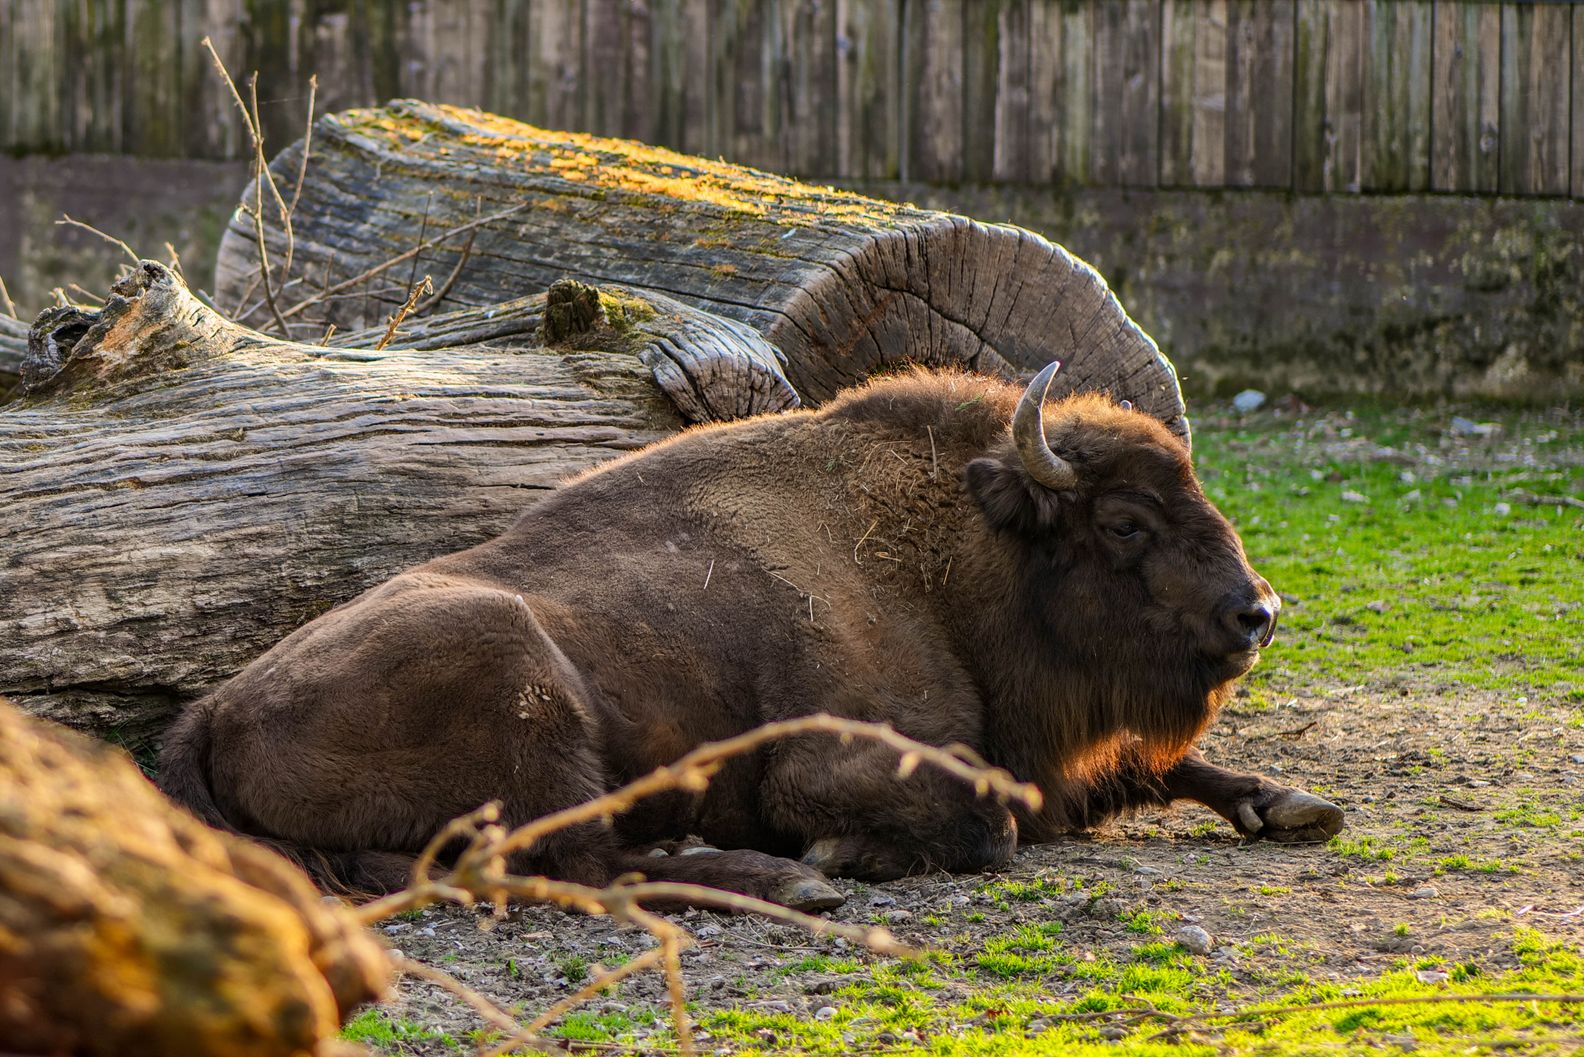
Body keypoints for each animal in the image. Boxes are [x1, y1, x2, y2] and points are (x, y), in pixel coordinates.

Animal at [159, 364, 1343, 911]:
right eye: (1126, 521)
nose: (1258, 613)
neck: (951, 559)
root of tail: (212, 712)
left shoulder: (1058, 757)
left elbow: (1153, 765)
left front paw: (1294, 804)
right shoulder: (825, 761)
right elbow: (987, 822)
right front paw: (836, 856)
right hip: (524, 687)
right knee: (580, 860)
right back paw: (776, 878)